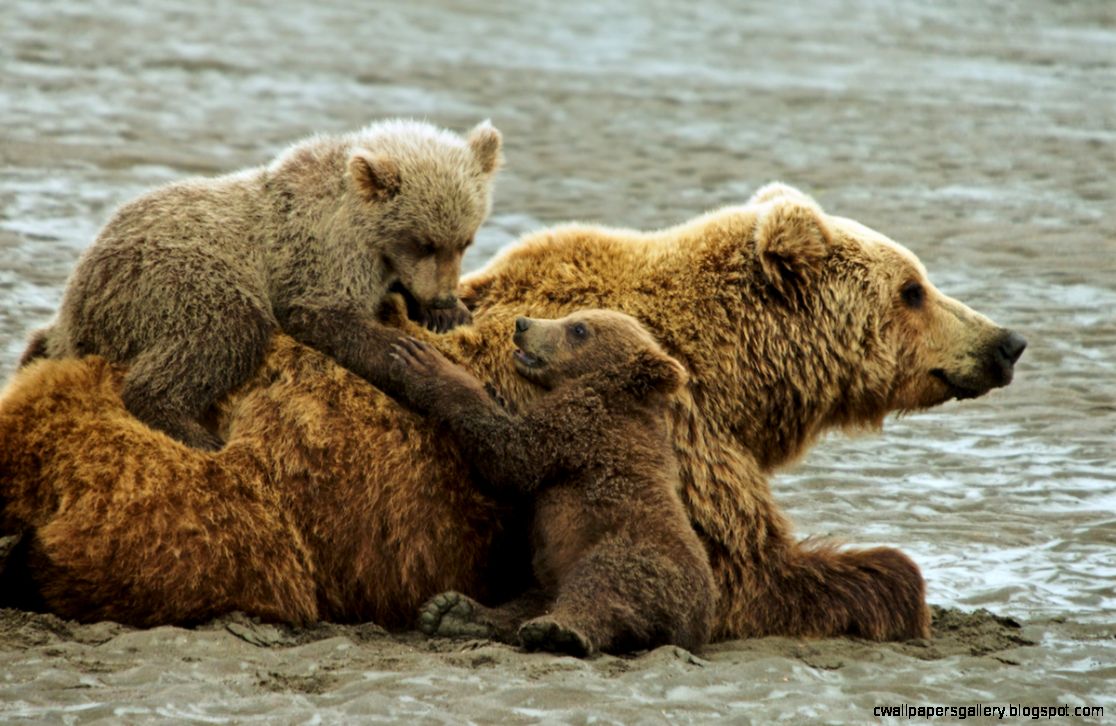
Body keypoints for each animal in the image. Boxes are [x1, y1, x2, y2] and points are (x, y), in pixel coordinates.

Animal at [19, 119, 503, 450]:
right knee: (224, 332)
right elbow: (325, 314)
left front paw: (447, 313)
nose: (441, 294)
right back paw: (191, 429)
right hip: (170, 278)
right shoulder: (319, 253)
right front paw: (404, 348)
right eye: (423, 241)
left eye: (465, 240)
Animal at [387, 310, 716, 656]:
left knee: (602, 585)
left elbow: (512, 454)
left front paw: (423, 363)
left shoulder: (582, 423)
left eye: (578, 329)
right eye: (572, 316)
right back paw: (454, 612)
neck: (610, 386)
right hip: (551, 577)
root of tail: (697, 627)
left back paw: (556, 630)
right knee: (531, 600)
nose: (522, 324)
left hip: (639, 552)